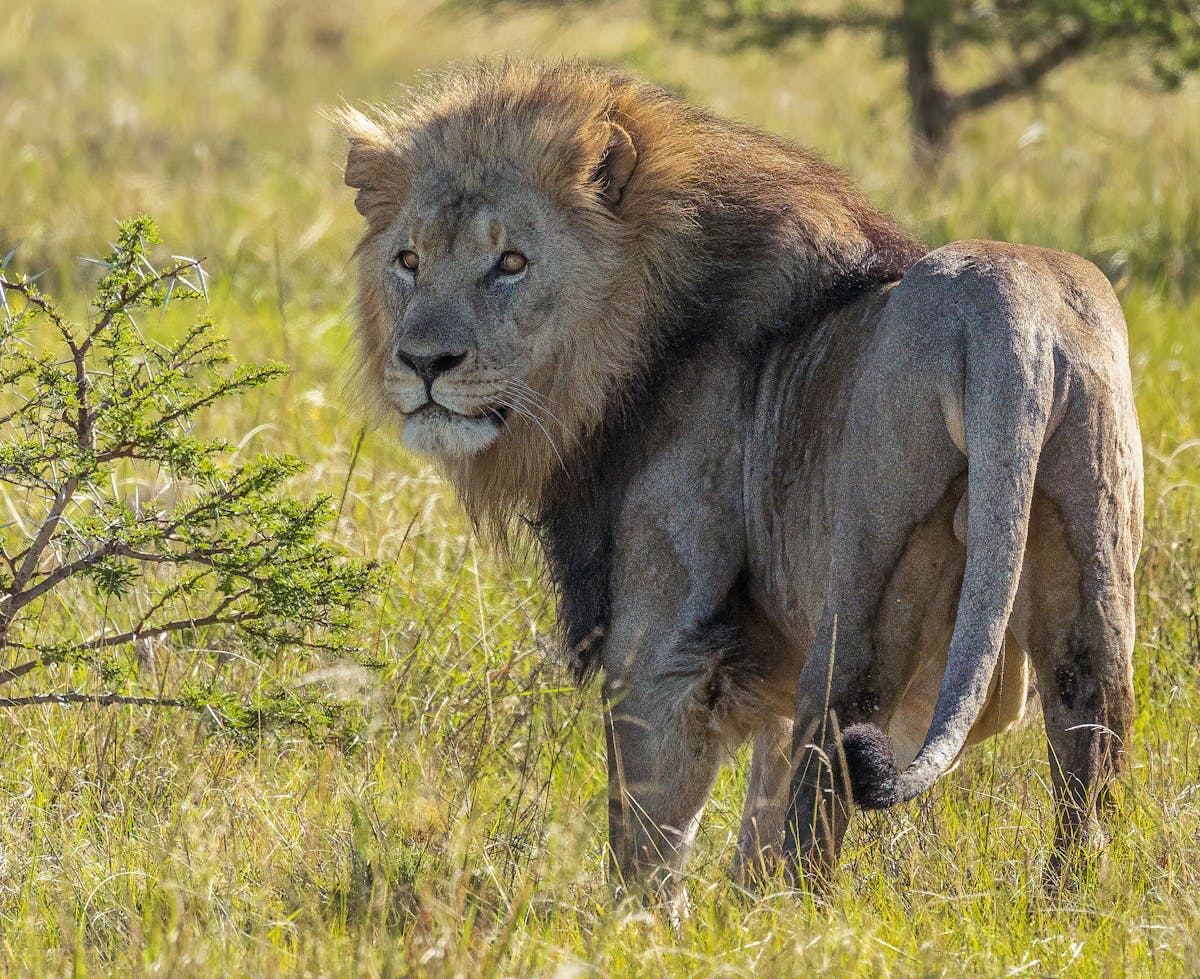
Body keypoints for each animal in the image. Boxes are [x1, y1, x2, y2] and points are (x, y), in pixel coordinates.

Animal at [336, 60, 1143, 892]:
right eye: (408, 261)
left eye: (511, 264)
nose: (423, 362)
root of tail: (1008, 319)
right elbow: (760, 798)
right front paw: (744, 901)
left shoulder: (660, 648)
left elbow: (646, 832)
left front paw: (638, 921)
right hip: (1089, 548)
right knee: (1089, 730)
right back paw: (1067, 899)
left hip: (866, 581)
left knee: (835, 769)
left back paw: (809, 912)